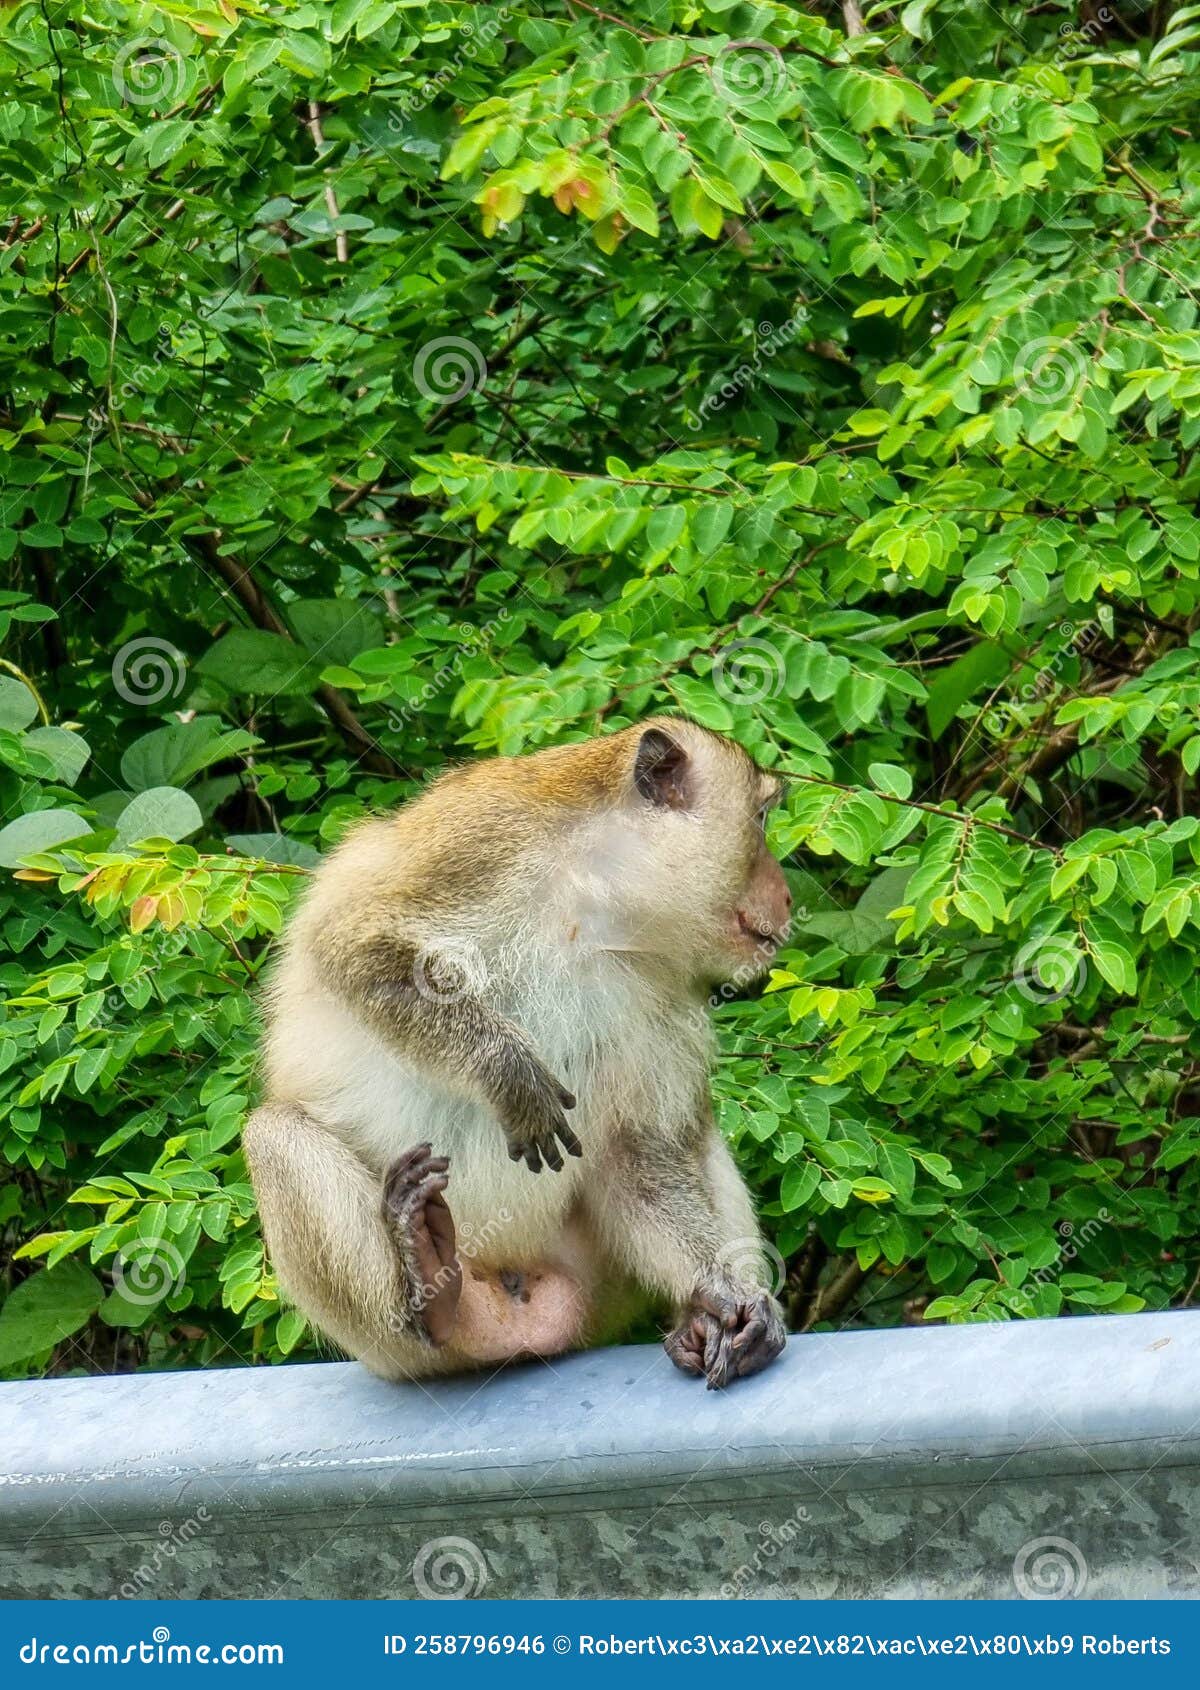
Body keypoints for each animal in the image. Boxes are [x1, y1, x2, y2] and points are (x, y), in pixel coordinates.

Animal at [243, 716, 792, 1389]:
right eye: (761, 818)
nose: (788, 897)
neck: (596, 902)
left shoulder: (673, 990)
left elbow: (639, 1153)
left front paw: (722, 1294)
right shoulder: (486, 838)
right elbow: (351, 942)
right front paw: (508, 1074)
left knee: (690, 1131)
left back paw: (695, 1321)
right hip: (389, 1347)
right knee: (274, 1135)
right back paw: (431, 1289)